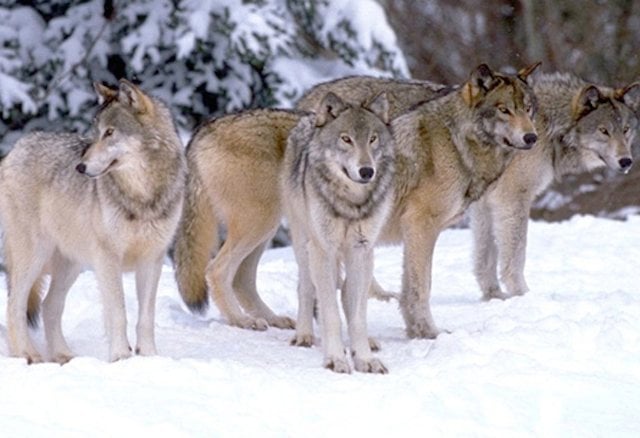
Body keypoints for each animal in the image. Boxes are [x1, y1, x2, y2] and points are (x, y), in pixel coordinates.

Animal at [0, 79, 186, 364]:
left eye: (109, 133)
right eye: (95, 133)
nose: (80, 167)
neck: (142, 196)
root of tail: (16, 149)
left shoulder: (152, 259)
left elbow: (146, 317)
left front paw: (150, 357)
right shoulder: (108, 258)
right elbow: (118, 312)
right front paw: (121, 357)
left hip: (71, 264)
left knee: (49, 305)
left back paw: (64, 355)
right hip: (34, 256)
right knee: (15, 305)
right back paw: (27, 355)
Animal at [173, 108, 302, 330]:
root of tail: (202, 130)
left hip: (266, 227)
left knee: (241, 279)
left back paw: (271, 318)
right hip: (261, 221)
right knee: (216, 271)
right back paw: (240, 320)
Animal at [283, 91, 394, 373]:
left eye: (372, 139)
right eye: (346, 139)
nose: (367, 171)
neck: (351, 203)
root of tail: (311, 117)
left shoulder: (360, 249)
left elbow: (357, 316)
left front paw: (364, 357)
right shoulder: (323, 249)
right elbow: (330, 313)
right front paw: (335, 358)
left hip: (365, 256)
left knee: (346, 293)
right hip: (305, 244)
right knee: (306, 288)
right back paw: (304, 335)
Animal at [471, 72, 640, 300]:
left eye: (625, 130)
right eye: (604, 131)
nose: (626, 161)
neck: (549, 128)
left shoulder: (484, 204)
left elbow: (485, 258)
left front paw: (494, 297)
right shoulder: (513, 200)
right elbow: (516, 255)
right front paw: (523, 296)